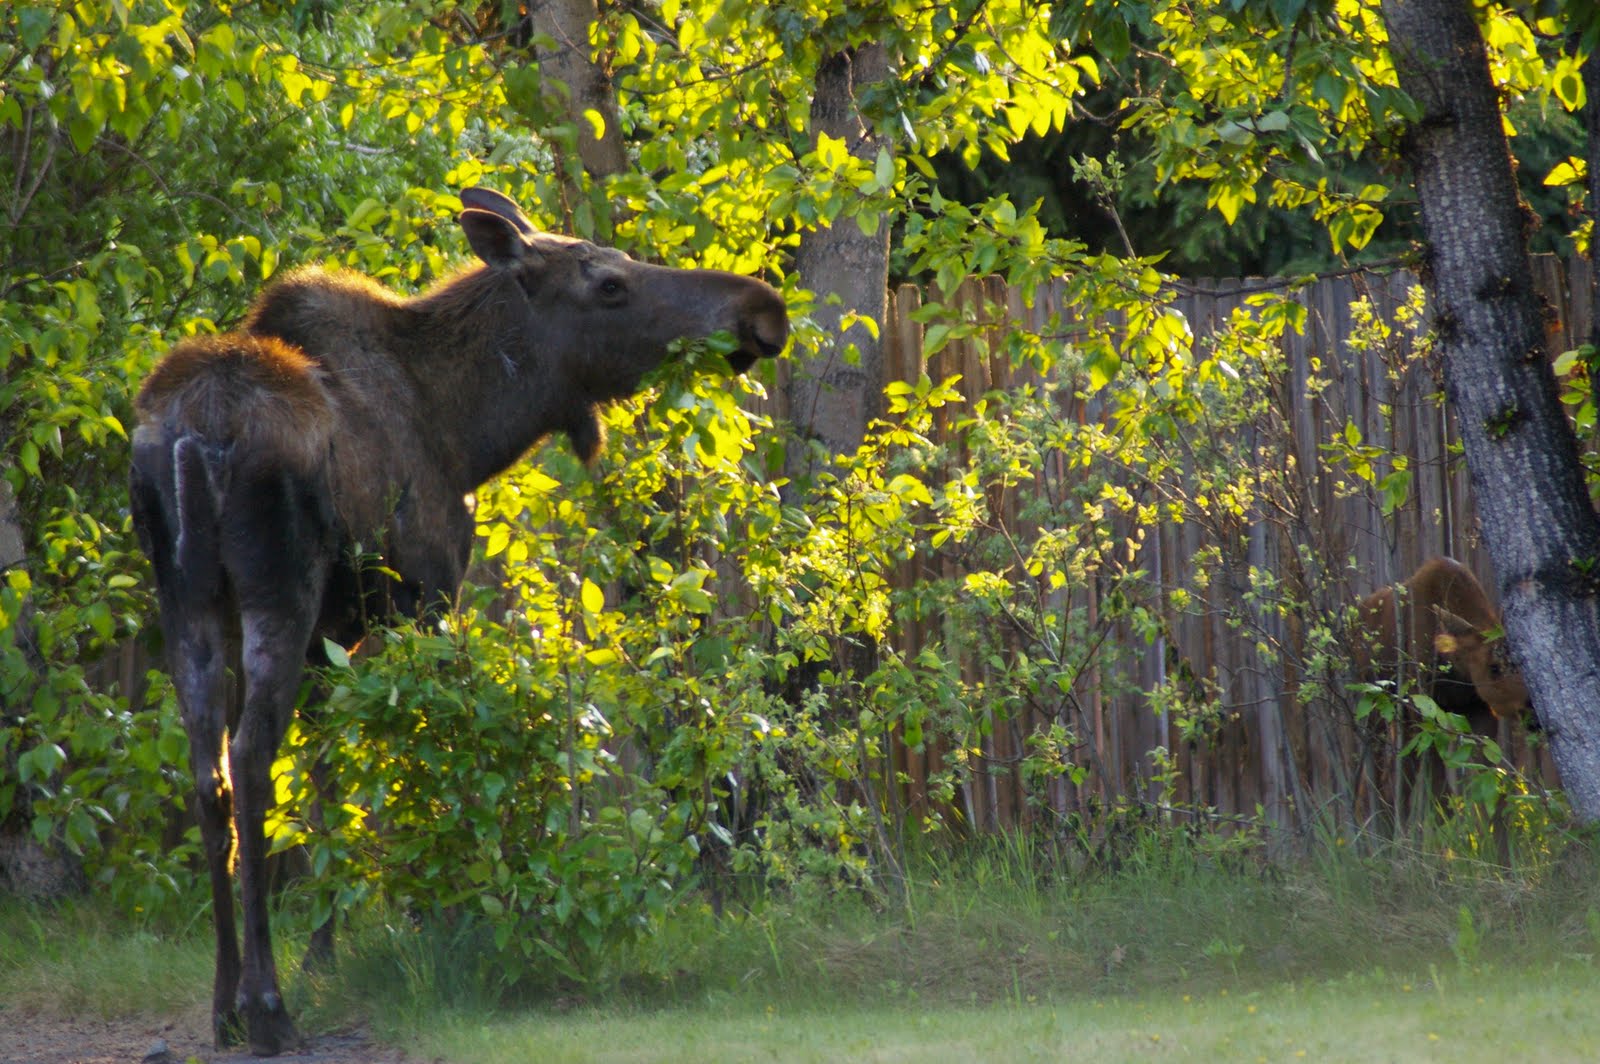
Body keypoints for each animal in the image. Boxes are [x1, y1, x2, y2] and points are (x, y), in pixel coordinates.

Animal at [128, 187, 789, 1055]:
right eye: (609, 283)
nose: (763, 310)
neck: (468, 428)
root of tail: (197, 434)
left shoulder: (334, 633)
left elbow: (329, 777)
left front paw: (328, 945)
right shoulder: (425, 596)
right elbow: (421, 757)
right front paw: (434, 913)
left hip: (189, 599)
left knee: (208, 776)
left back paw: (224, 1005)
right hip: (277, 589)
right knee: (249, 760)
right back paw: (266, 1008)